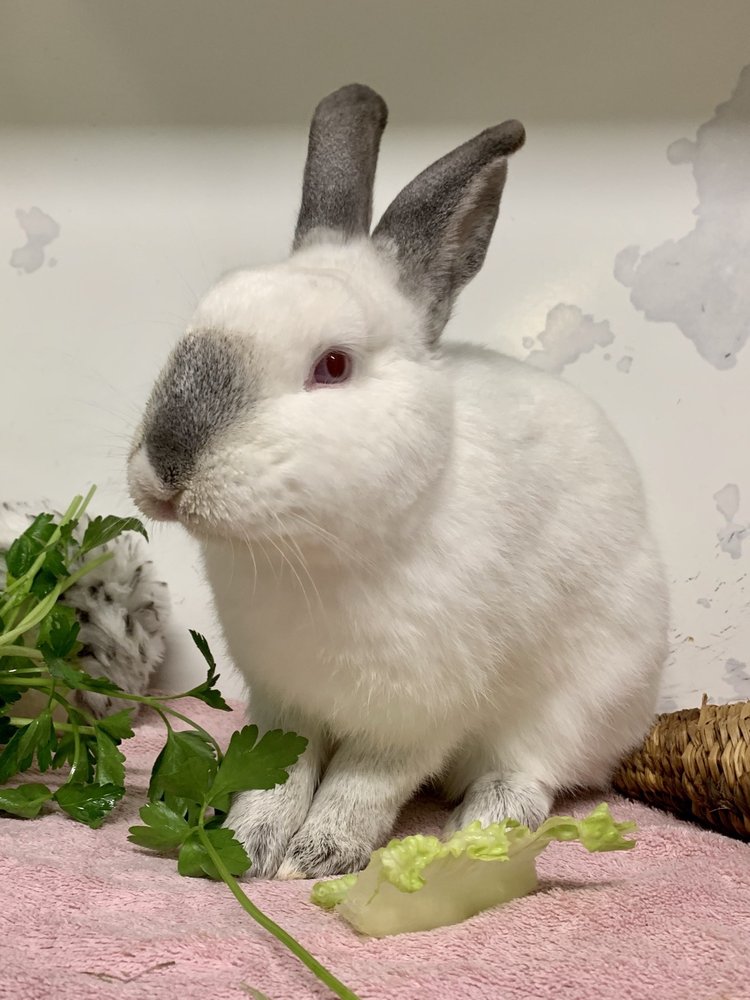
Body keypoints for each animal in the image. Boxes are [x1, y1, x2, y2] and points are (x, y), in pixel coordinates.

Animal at [127, 84, 669, 880]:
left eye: (333, 365)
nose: (166, 465)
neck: (315, 553)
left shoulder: (416, 715)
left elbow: (364, 786)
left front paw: (319, 857)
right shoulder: (284, 706)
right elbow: (278, 779)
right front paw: (251, 846)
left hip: (584, 697)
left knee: (533, 771)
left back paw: (482, 827)